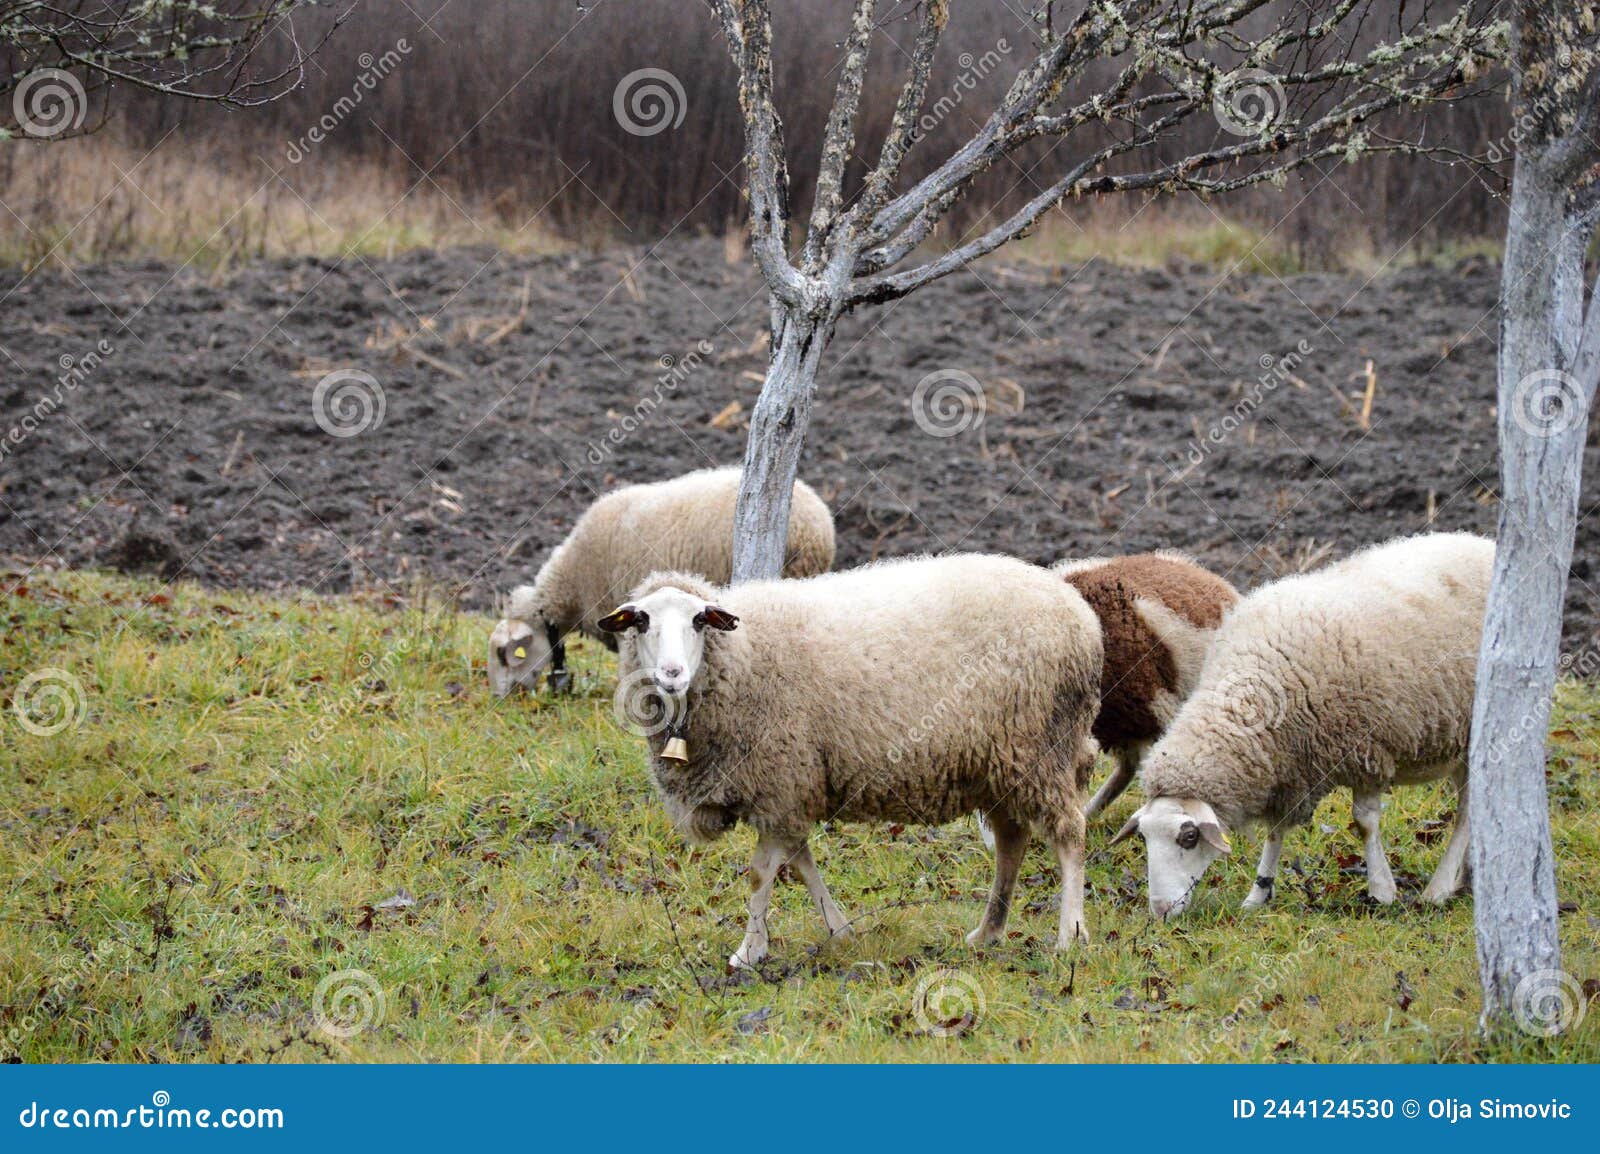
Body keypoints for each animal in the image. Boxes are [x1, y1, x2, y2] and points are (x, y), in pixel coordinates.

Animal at [596, 553, 1104, 968]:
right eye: (640, 622)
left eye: (700, 621)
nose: (672, 673)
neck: (743, 655)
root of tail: (1080, 615)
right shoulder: (791, 786)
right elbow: (800, 862)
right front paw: (839, 929)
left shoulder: (780, 780)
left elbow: (762, 872)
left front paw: (749, 951)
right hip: (1001, 762)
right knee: (1011, 842)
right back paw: (989, 931)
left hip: (1041, 746)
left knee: (1069, 834)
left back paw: (1070, 935)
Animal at [1109, 531, 1494, 919]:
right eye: (1143, 837)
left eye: (1188, 837)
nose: (1160, 911)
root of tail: (1483, 542)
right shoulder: (1286, 768)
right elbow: (1275, 832)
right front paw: (1258, 893)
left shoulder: (1366, 749)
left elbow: (1365, 822)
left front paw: (1381, 890)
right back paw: (1465, 880)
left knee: (1466, 813)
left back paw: (1439, 888)